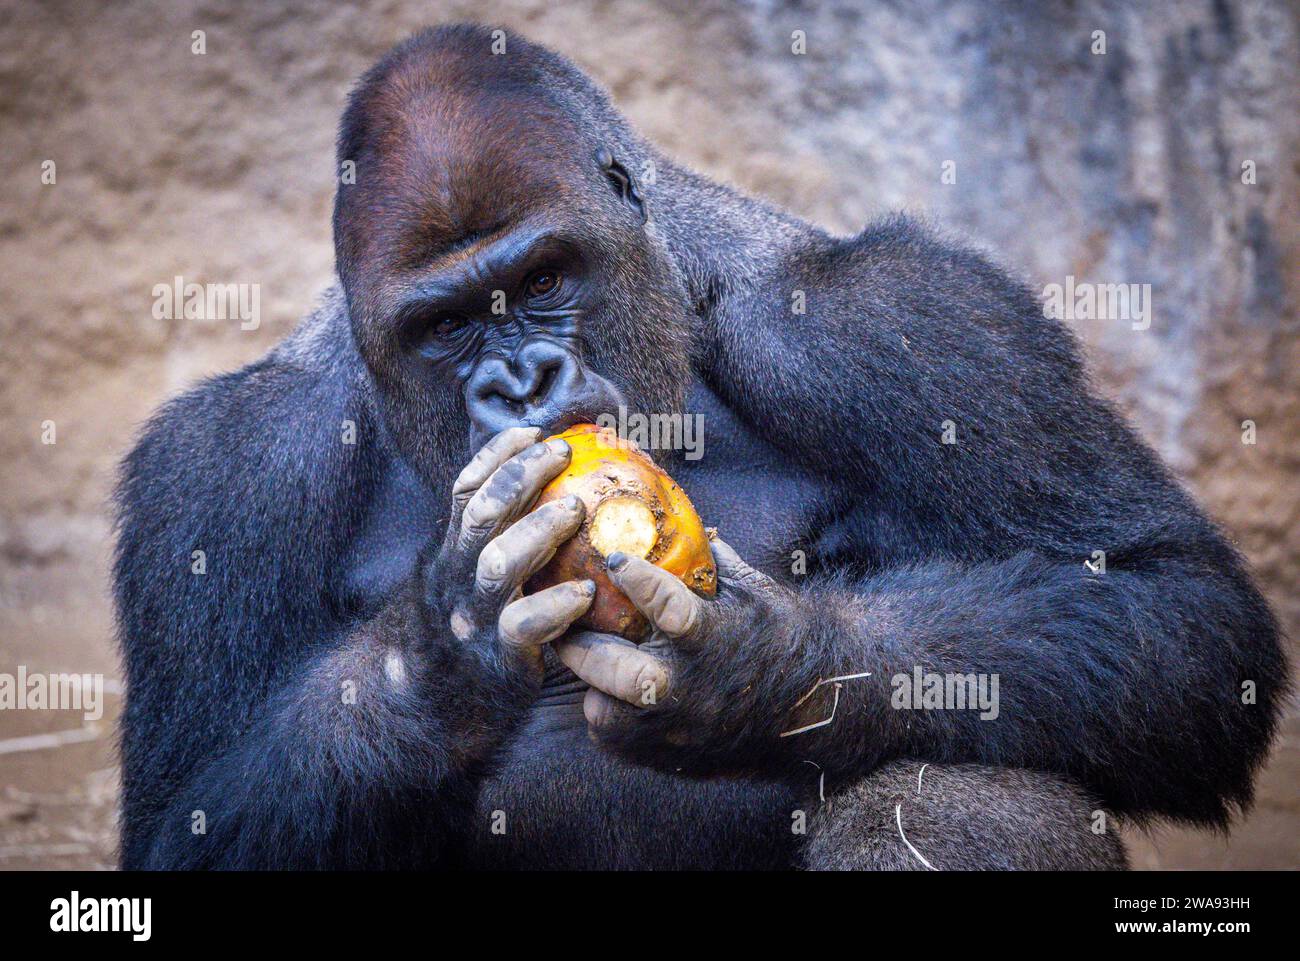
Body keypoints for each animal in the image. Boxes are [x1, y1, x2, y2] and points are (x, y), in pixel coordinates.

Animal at [114, 24, 1283, 870]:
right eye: (444, 327)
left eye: (544, 278)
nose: (521, 384)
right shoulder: (220, 473)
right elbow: (182, 821)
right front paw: (444, 653)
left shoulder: (911, 317)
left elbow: (1174, 605)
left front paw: (765, 672)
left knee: (955, 782)